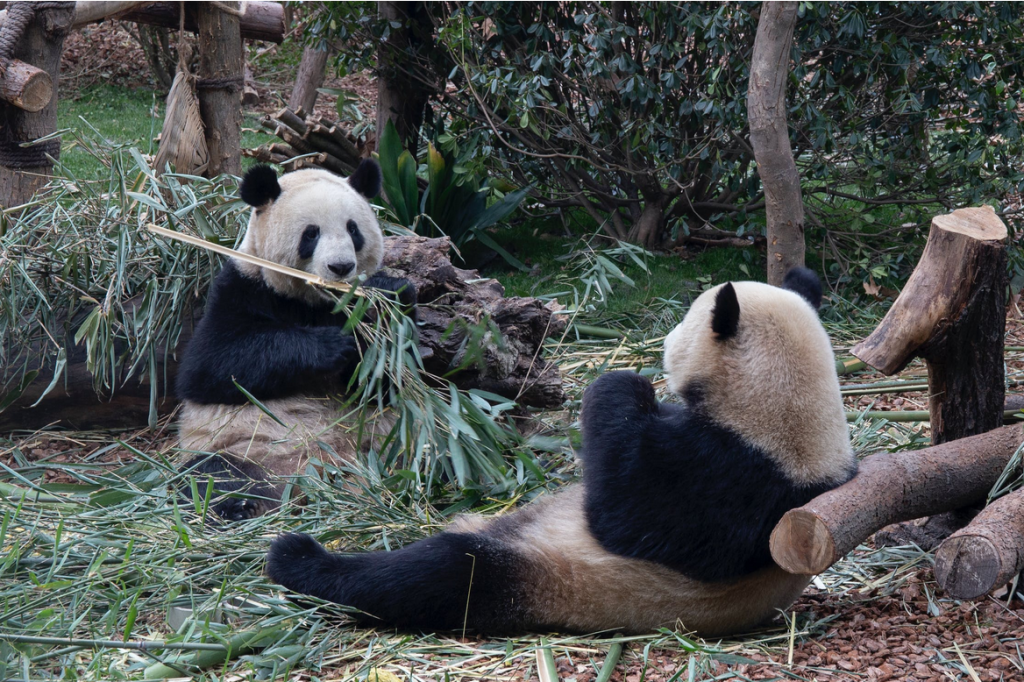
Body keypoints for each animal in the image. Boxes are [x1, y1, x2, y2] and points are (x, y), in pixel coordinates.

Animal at [176, 160, 415, 521]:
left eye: (353, 230)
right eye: (311, 233)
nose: (341, 267)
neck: (319, 302)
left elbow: (384, 384)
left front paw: (389, 295)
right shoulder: (243, 288)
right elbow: (210, 366)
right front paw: (333, 345)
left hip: (387, 443)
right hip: (246, 447)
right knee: (212, 476)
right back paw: (240, 507)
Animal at [264, 268, 856, 636]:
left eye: (684, 324)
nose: (665, 339)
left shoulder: (732, 479)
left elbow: (628, 514)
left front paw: (621, 383)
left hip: (546, 577)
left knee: (438, 577)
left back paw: (299, 559)